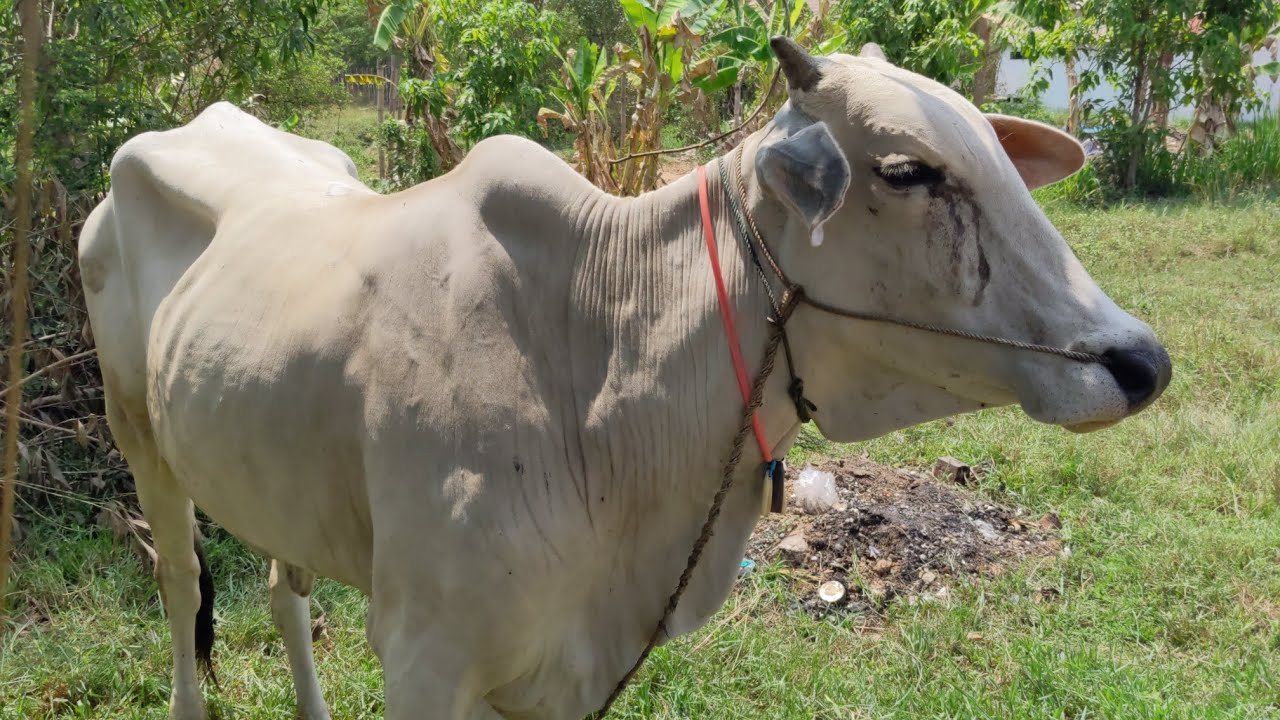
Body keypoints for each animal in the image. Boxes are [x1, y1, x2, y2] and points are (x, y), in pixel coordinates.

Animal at [78, 39, 1170, 720]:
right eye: (907, 172)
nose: (1140, 362)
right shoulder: (426, 657)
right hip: (140, 436)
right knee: (183, 584)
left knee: (283, 589)